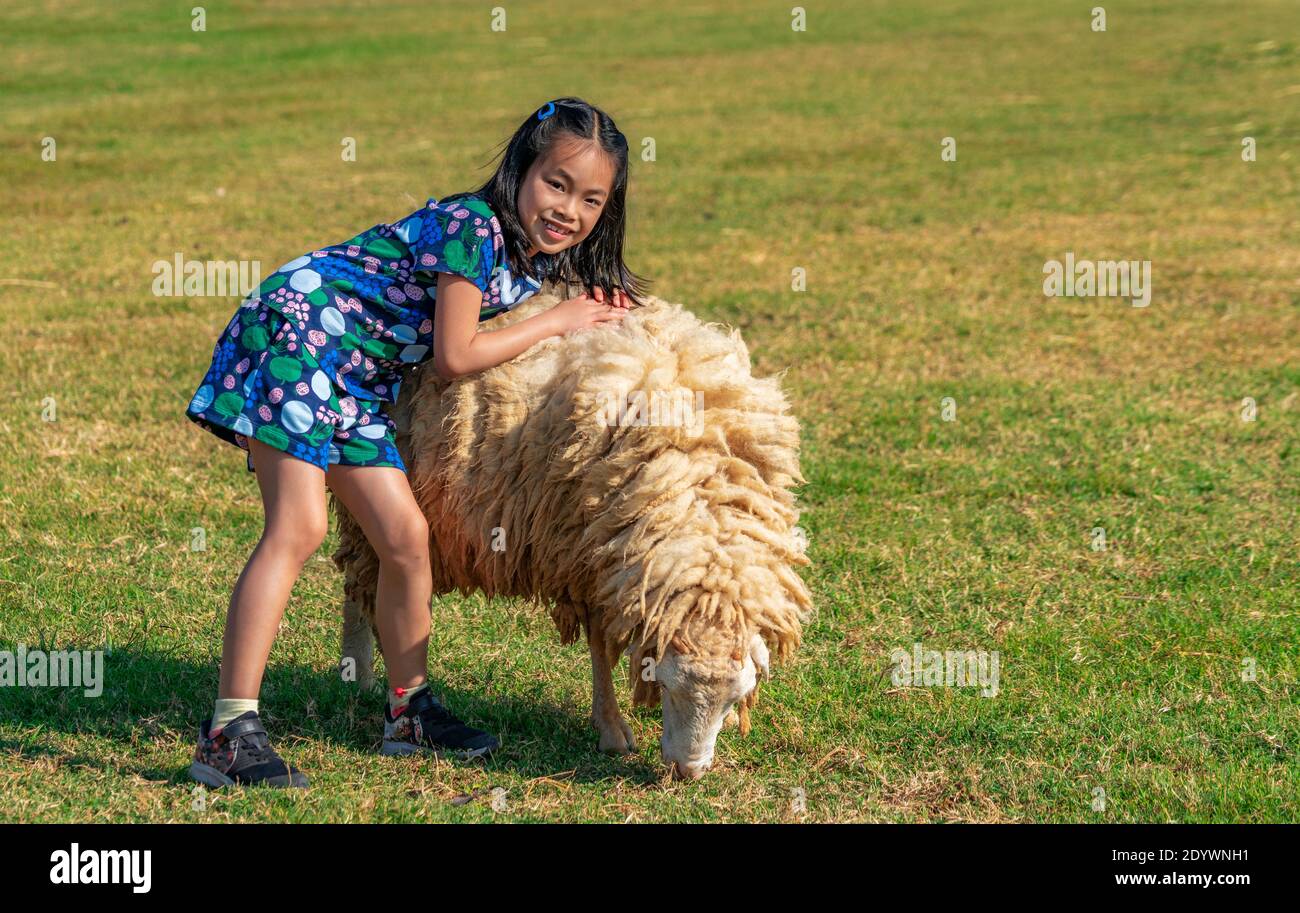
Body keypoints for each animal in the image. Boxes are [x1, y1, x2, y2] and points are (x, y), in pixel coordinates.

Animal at [330, 284, 813, 779]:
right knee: (360, 584)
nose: (688, 772)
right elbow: (600, 644)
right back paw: (361, 674)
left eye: (733, 699)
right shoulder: (586, 549)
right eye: (666, 686)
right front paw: (612, 729)